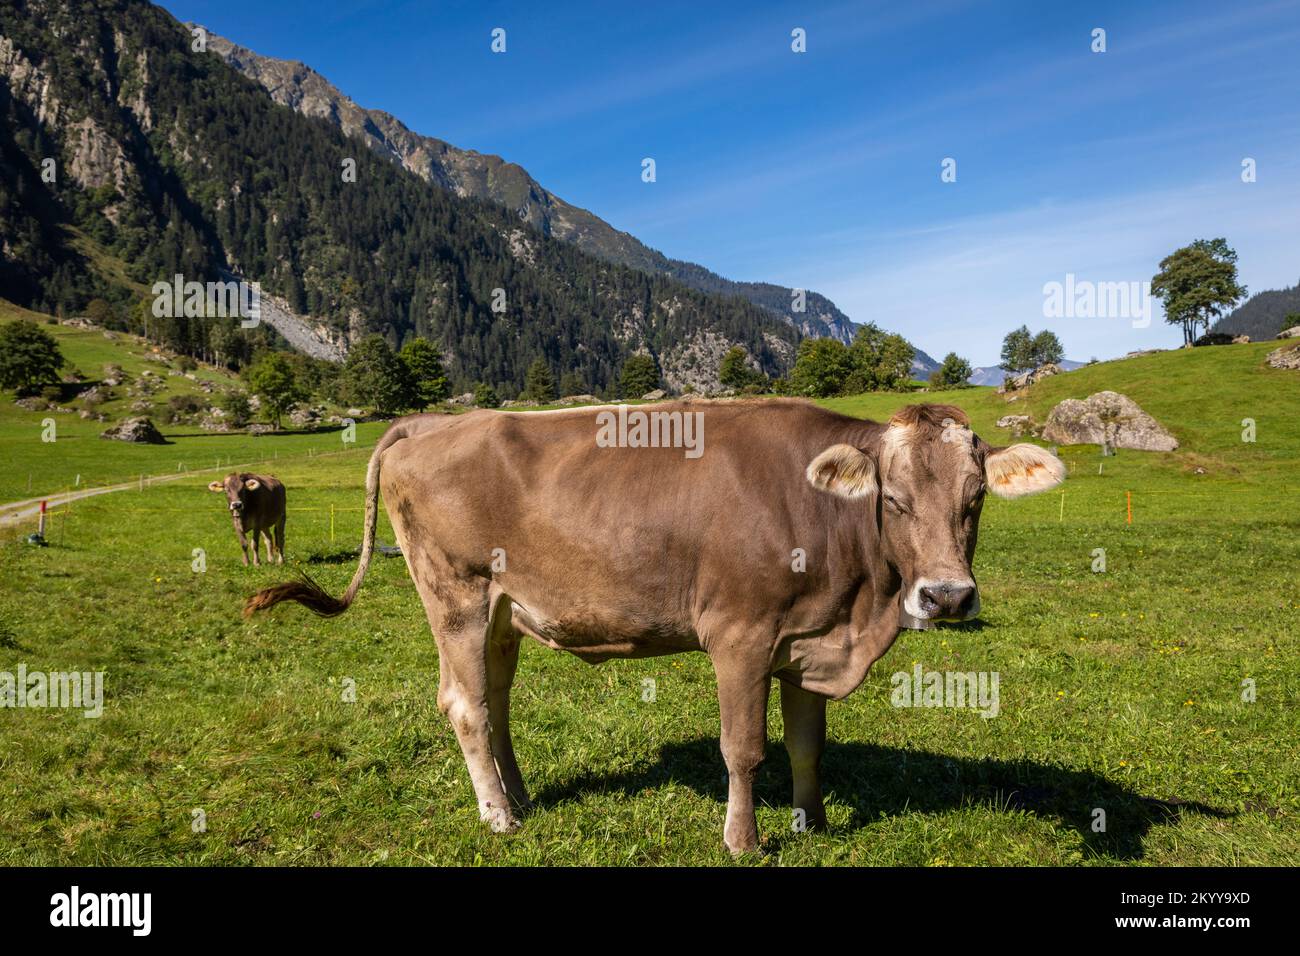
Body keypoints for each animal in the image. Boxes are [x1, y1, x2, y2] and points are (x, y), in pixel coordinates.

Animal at [244, 400, 1064, 853]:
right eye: (892, 498)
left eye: (976, 496)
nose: (948, 596)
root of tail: (432, 424)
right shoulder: (739, 636)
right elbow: (744, 750)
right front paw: (744, 840)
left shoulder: (809, 641)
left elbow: (807, 745)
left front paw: (814, 823)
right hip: (456, 595)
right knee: (465, 706)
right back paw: (499, 818)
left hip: (503, 612)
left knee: (497, 703)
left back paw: (521, 797)